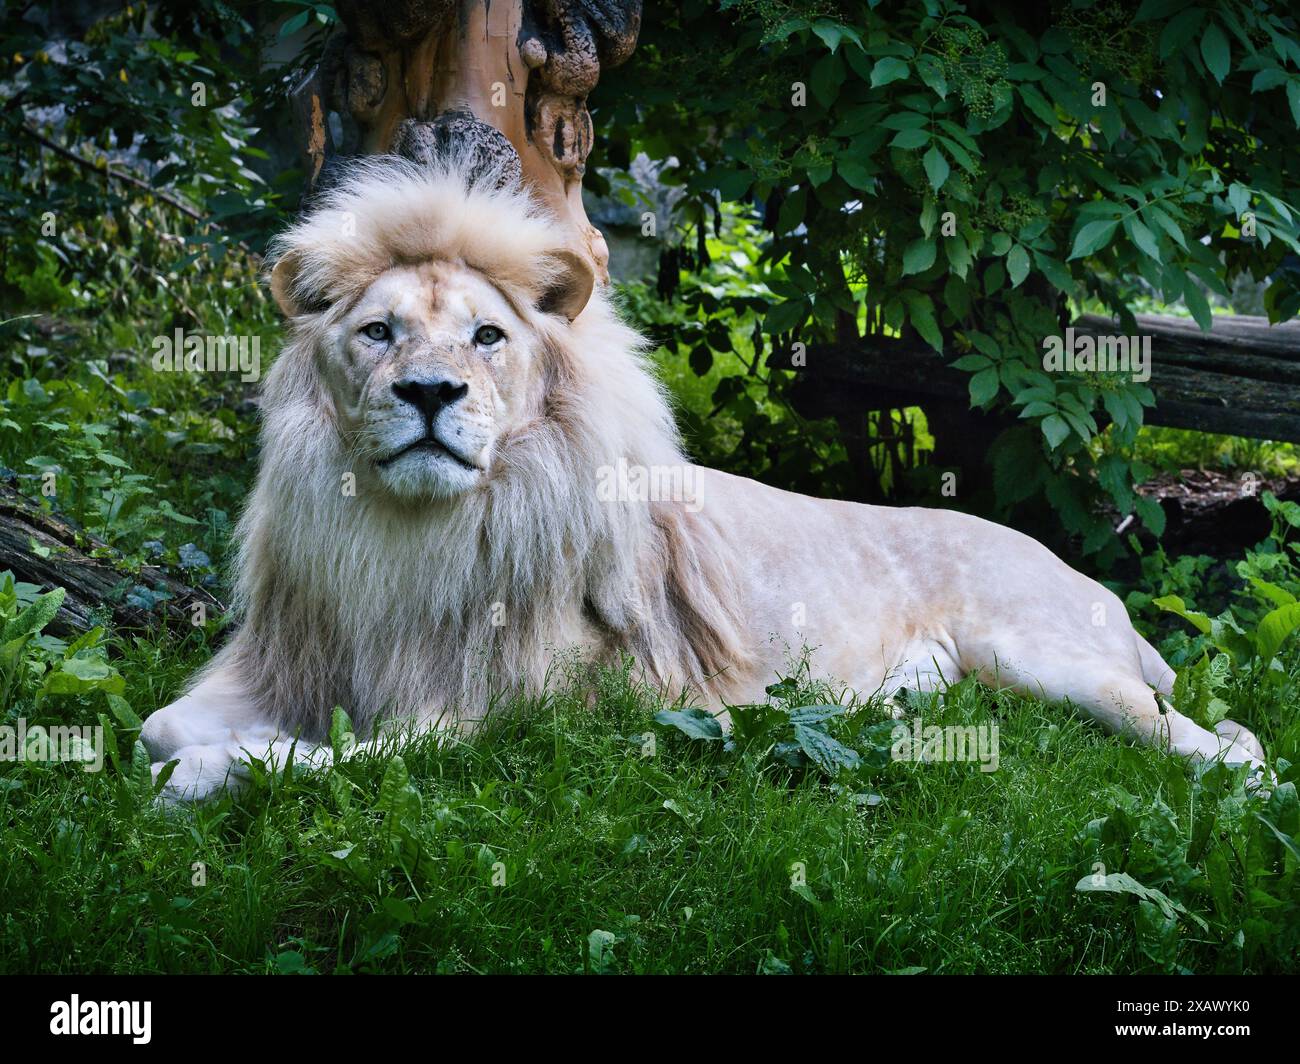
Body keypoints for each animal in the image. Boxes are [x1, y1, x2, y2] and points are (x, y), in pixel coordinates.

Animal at [140, 157, 1268, 800]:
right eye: (377, 332)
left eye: (487, 336)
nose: (427, 390)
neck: (411, 532)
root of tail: (1086, 577)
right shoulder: (296, 667)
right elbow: (159, 721)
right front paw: (179, 752)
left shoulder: (505, 720)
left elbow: (328, 756)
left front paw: (204, 777)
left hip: (1048, 654)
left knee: (1228, 739)